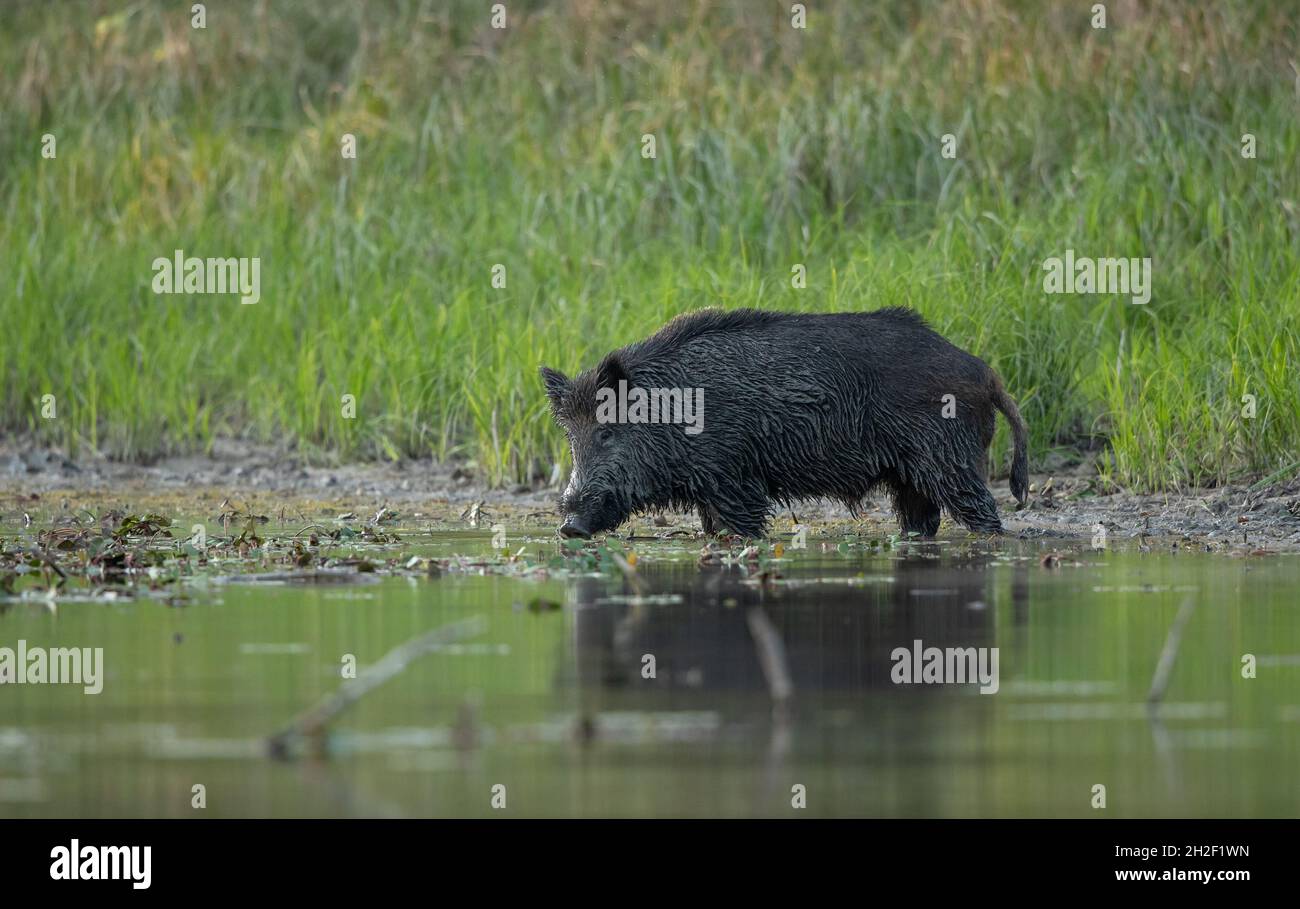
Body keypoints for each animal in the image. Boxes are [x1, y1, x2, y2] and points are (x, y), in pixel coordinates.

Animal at [540, 307, 1028, 539]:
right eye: (570, 439)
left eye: (606, 431)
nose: (569, 526)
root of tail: (986, 374)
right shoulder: (709, 489)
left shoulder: (734, 480)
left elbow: (743, 528)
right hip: (910, 477)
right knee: (920, 520)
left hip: (949, 458)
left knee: (984, 512)